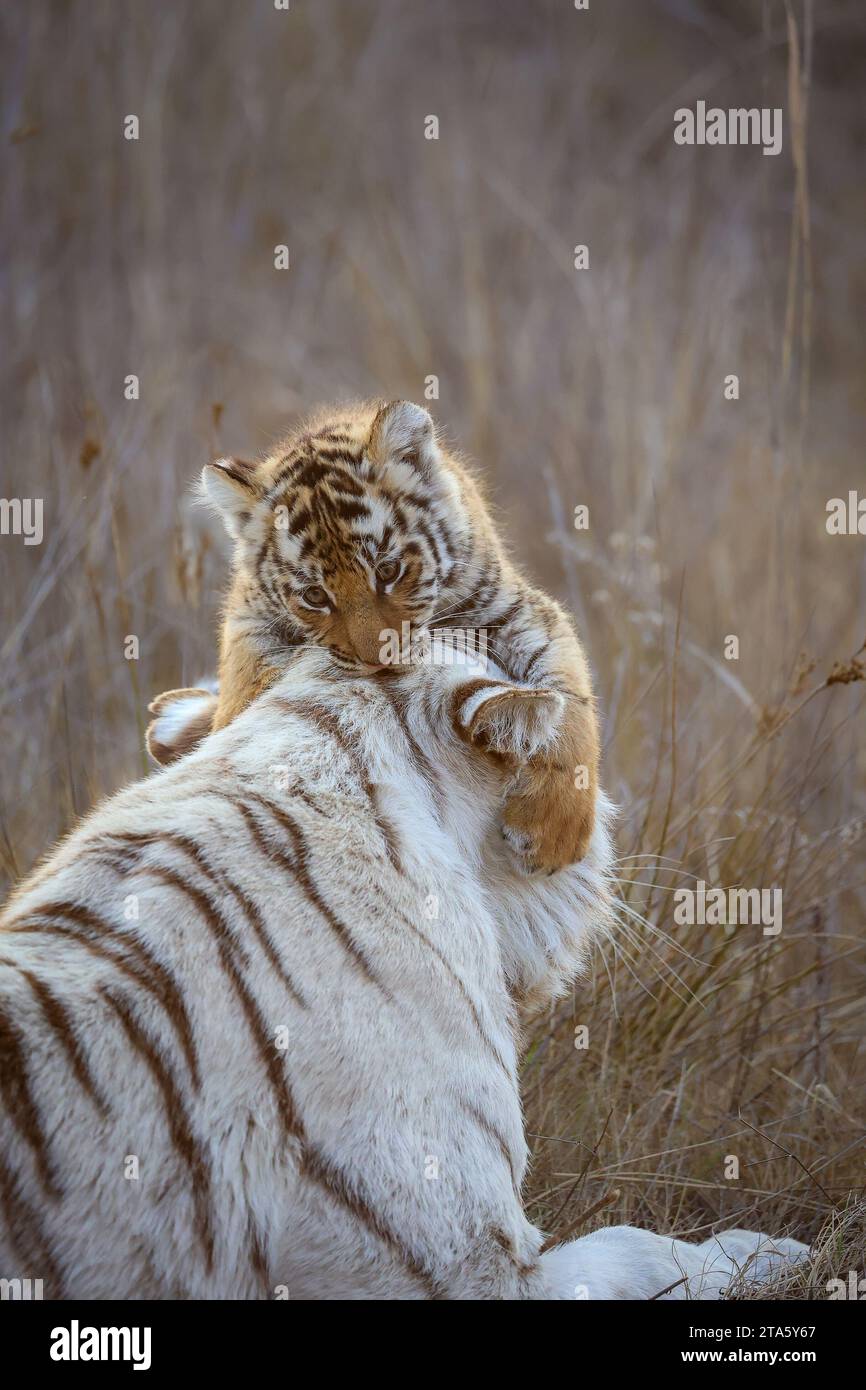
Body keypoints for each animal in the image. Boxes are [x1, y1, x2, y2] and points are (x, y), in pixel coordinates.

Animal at [191, 397, 600, 876]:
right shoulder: (247, 618)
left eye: (388, 570)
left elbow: (569, 697)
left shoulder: (518, 610)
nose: (377, 660)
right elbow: (242, 678)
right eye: (315, 595)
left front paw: (552, 830)